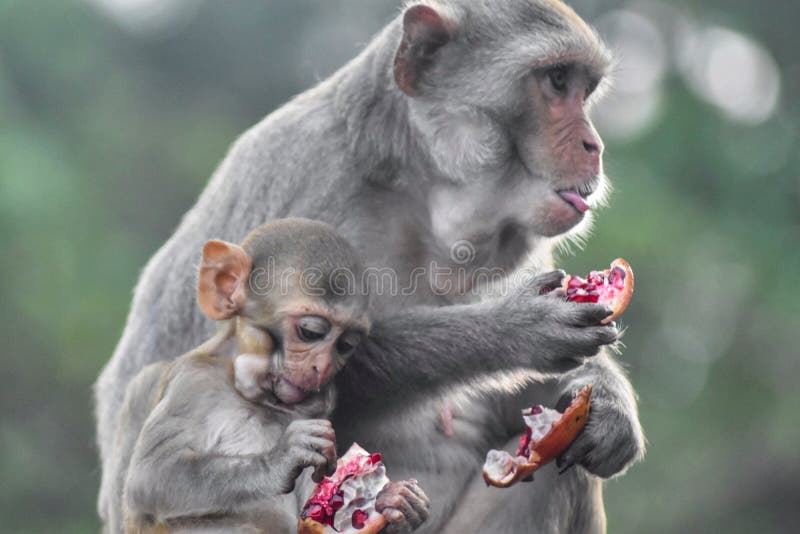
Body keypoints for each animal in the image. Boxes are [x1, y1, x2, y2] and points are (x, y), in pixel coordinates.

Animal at [104, 219, 430, 533]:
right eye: (310, 332)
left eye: (346, 345)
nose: (322, 367)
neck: (252, 396)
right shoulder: (193, 384)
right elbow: (151, 478)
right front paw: (281, 459)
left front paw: (399, 505)